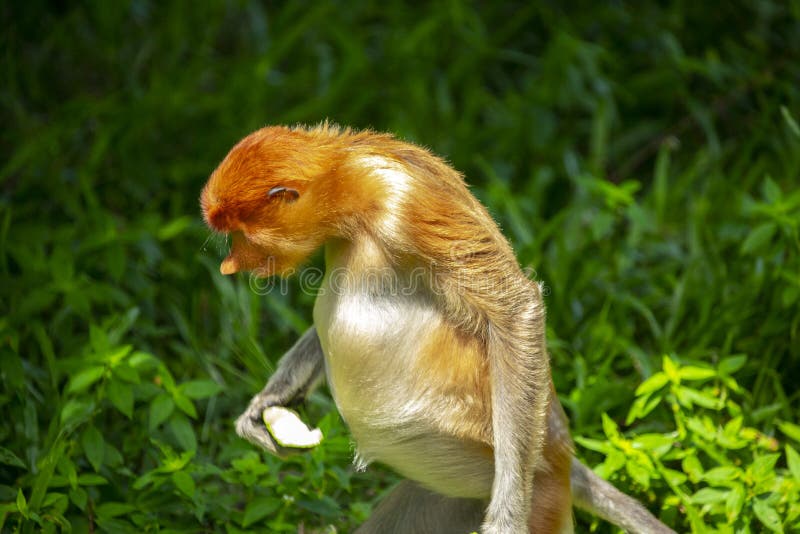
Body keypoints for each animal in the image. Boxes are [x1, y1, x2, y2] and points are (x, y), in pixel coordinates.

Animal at [200, 123, 675, 534]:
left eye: (241, 234)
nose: (229, 267)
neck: (352, 179)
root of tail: (560, 457)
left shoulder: (407, 203)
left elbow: (516, 308)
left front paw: (506, 521)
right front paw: (265, 406)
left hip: (541, 492)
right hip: (448, 495)